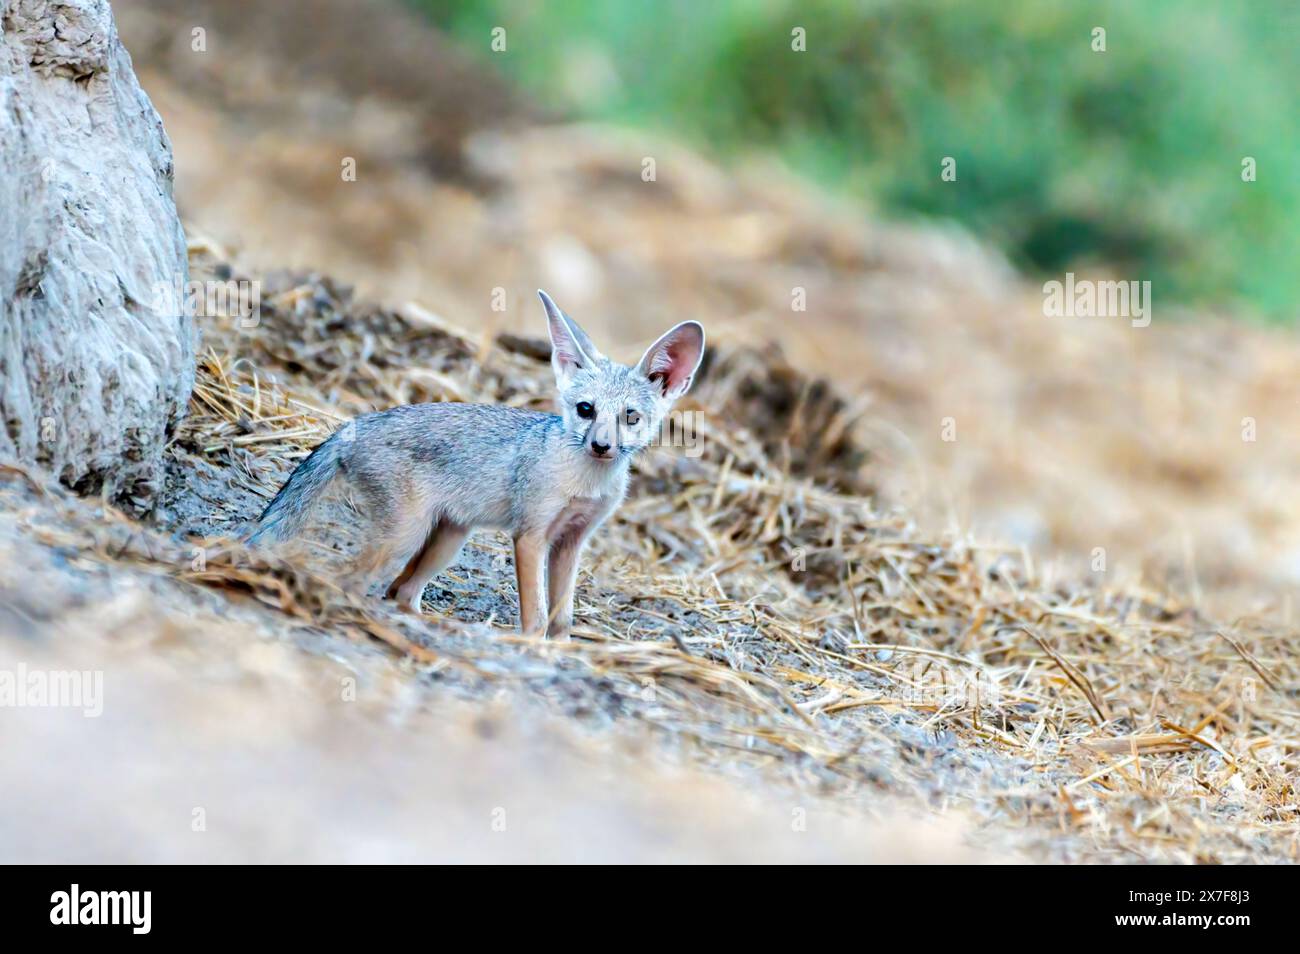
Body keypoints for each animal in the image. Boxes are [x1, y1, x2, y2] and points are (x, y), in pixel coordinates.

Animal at [246, 290, 705, 639]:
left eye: (631, 417)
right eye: (586, 409)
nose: (602, 445)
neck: (585, 483)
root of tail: (353, 424)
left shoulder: (572, 541)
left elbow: (562, 618)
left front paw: (562, 652)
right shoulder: (531, 535)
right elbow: (537, 616)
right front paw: (530, 648)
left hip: (447, 539)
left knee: (401, 591)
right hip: (406, 537)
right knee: (354, 580)